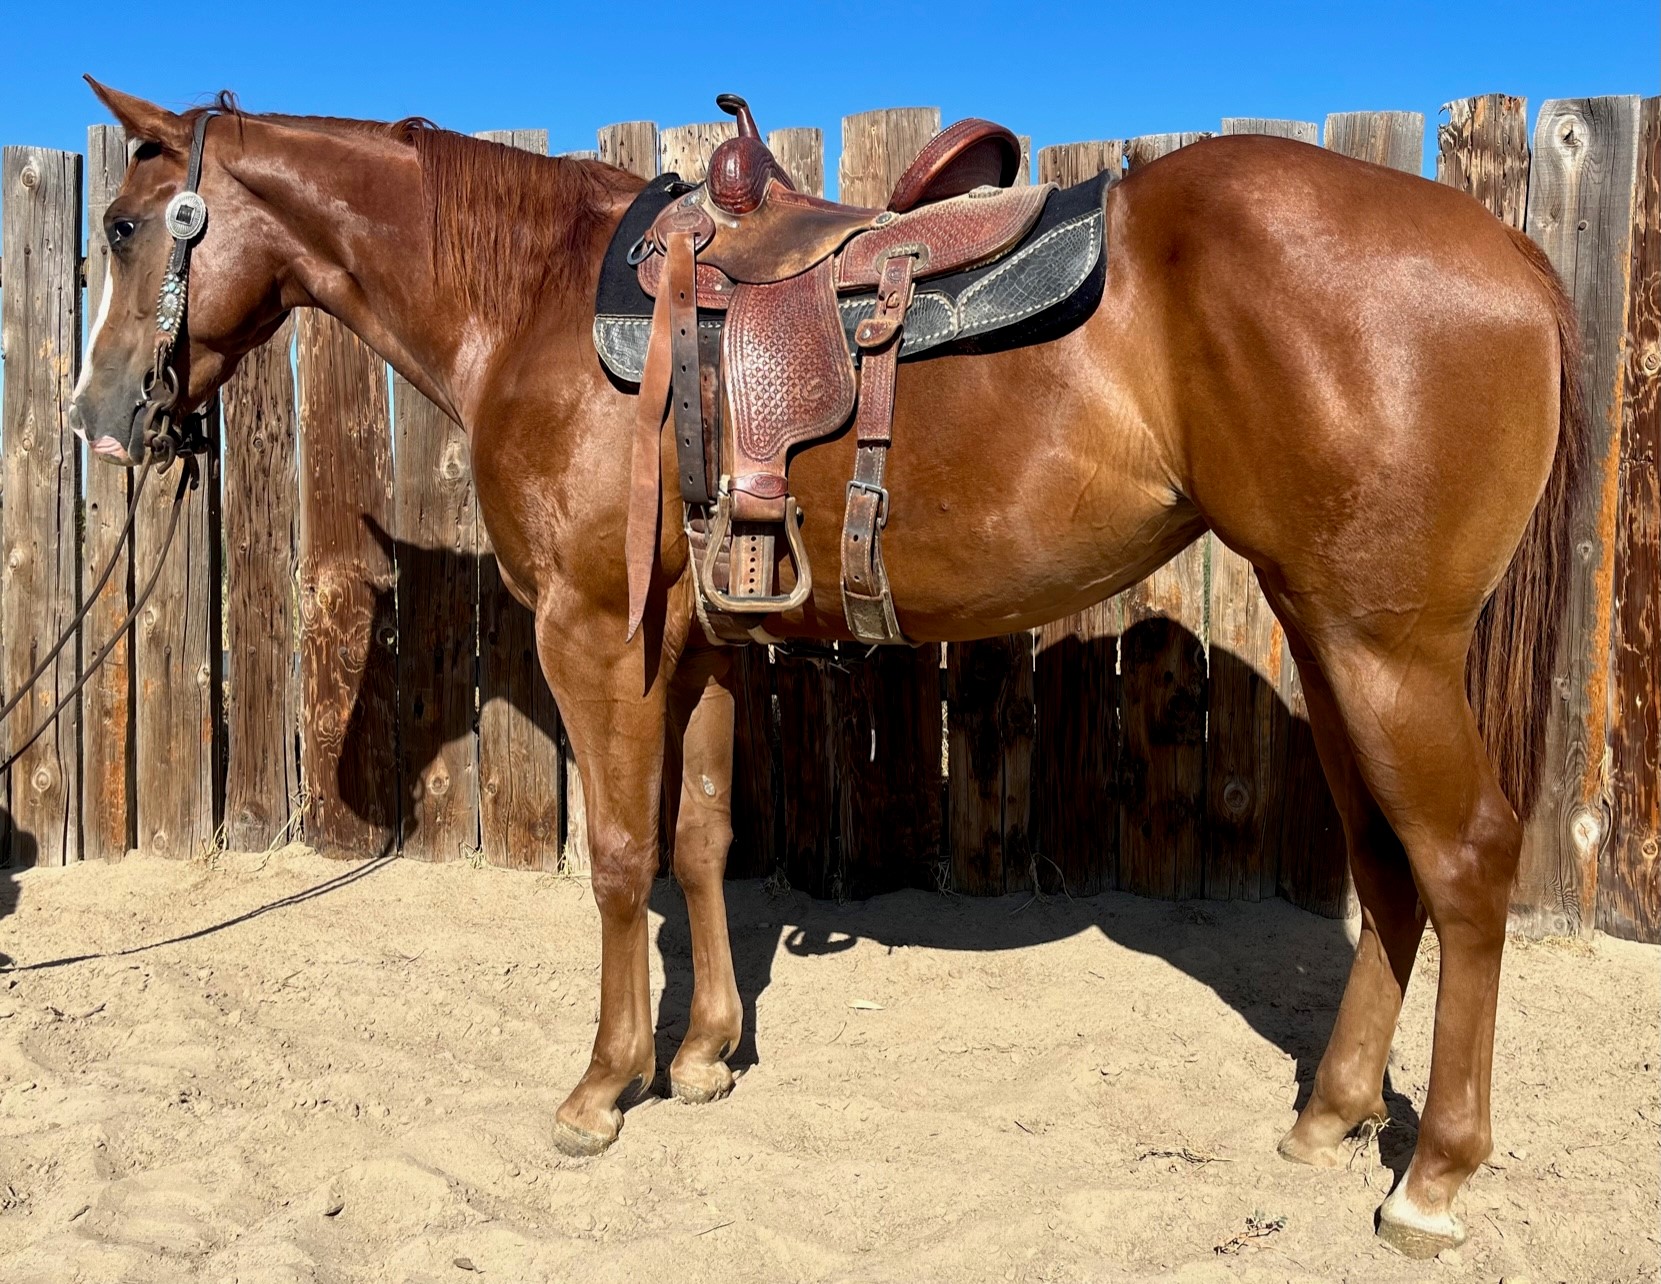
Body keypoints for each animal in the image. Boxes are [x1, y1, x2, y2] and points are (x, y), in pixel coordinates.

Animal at [71, 80, 1584, 1259]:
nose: (97, 418)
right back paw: (1329, 1114)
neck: (540, 301)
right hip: (1330, 637)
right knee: (1387, 866)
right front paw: (700, 1056)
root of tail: (1507, 254)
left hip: (1385, 648)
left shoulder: (593, 631)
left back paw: (1431, 1177)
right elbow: (698, 837)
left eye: (128, 226)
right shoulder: (696, 647)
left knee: (1464, 861)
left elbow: (617, 855)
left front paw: (602, 1086)